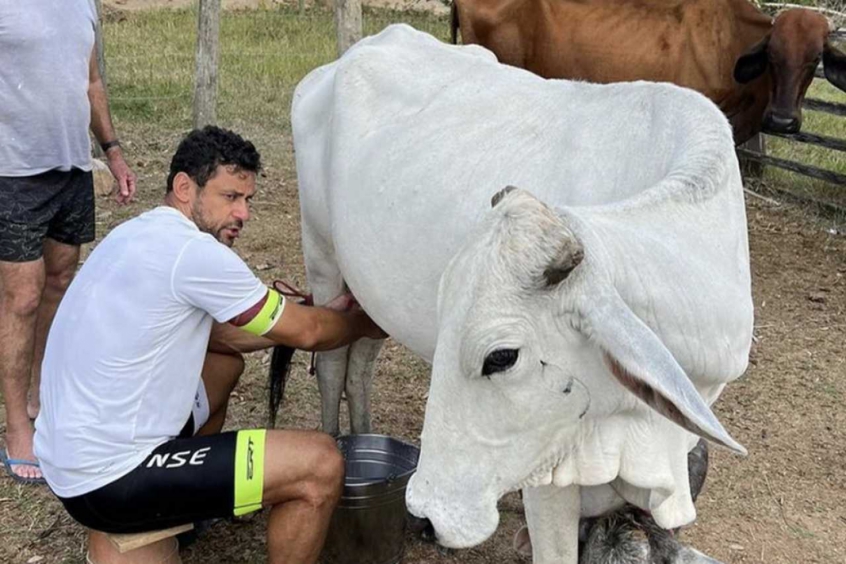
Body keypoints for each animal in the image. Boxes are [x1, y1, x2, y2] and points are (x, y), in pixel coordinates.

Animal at [291, 24, 753, 564]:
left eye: (502, 357)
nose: (427, 515)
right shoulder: (552, 469)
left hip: (368, 298)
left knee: (360, 363)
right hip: (323, 257)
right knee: (331, 364)